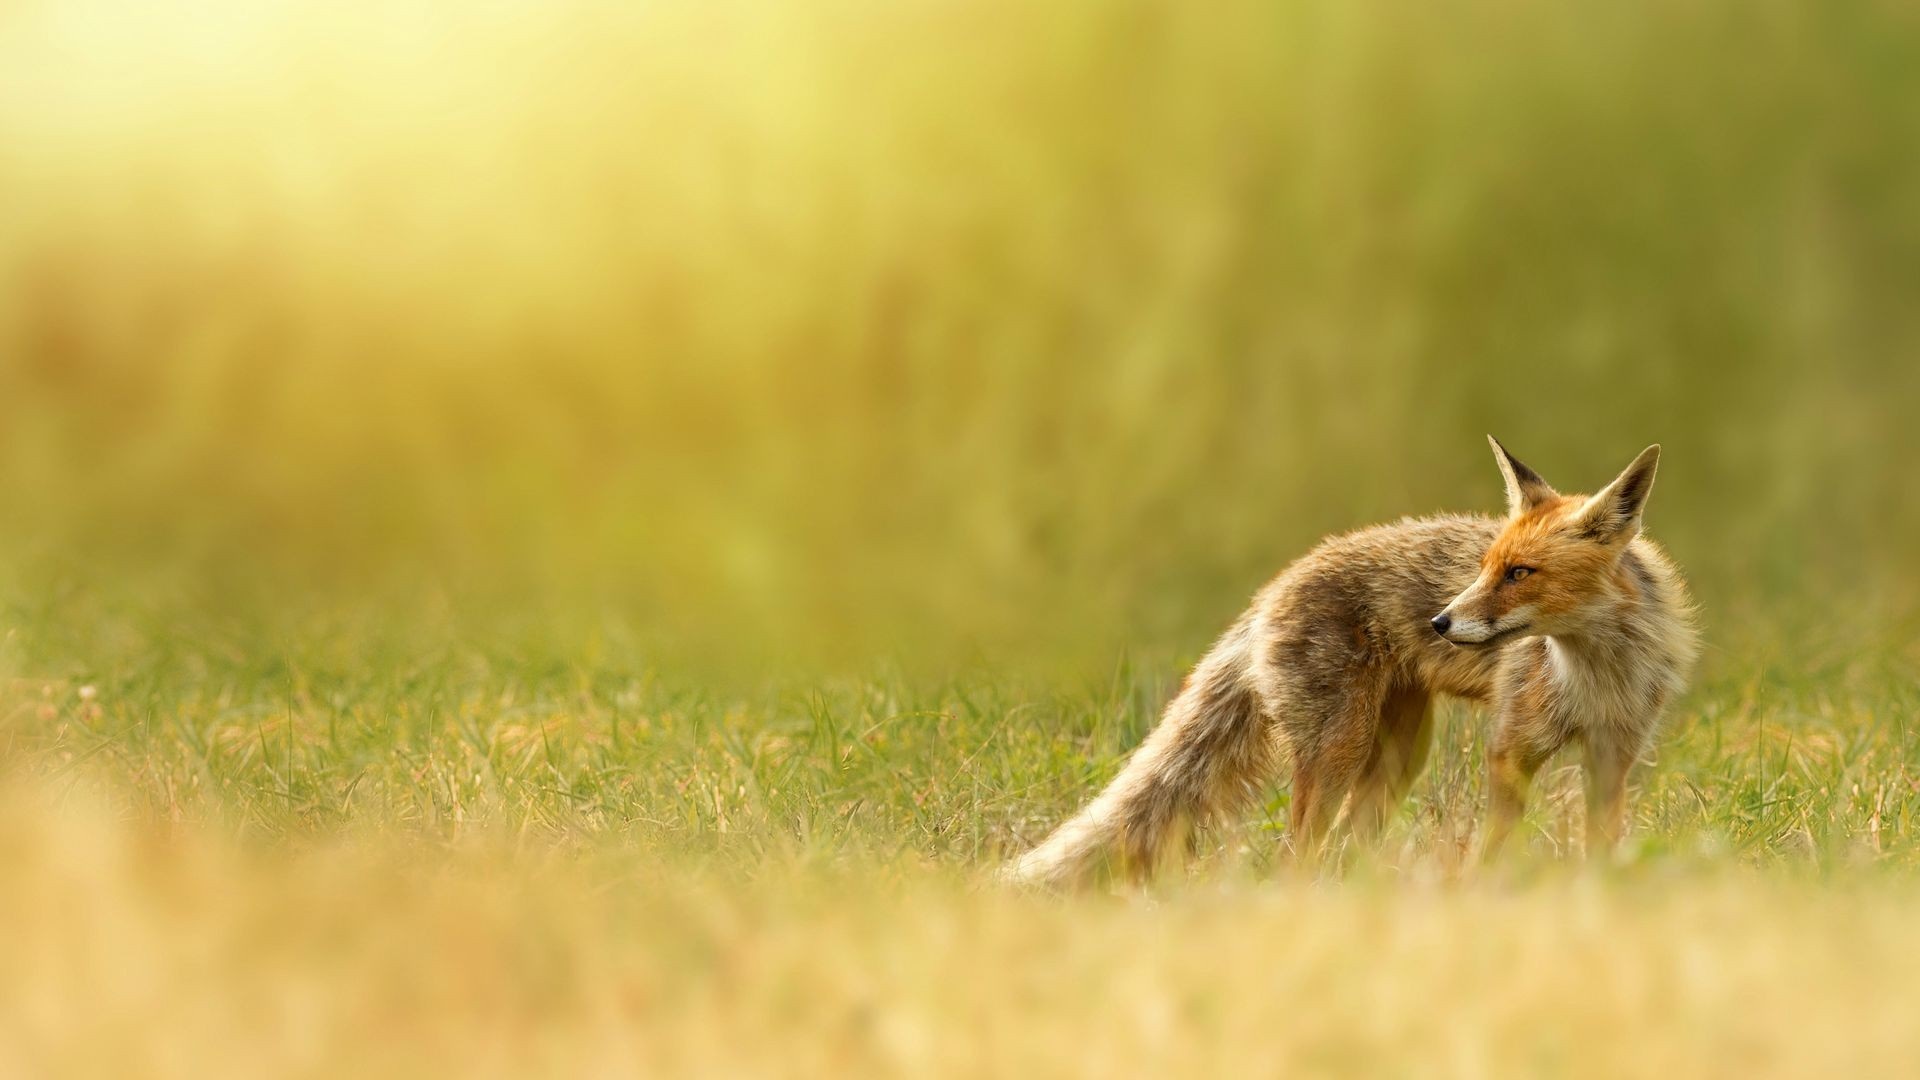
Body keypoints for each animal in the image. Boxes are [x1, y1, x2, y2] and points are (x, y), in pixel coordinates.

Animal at [1005, 437, 1698, 886]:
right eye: (1484, 568)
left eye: (1520, 573)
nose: (1441, 623)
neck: (1596, 675)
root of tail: (1271, 588)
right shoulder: (1511, 749)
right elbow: (1494, 850)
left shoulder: (1613, 755)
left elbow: (1601, 848)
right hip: (1340, 748)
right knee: (1297, 856)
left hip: (1396, 758)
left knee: (1344, 847)